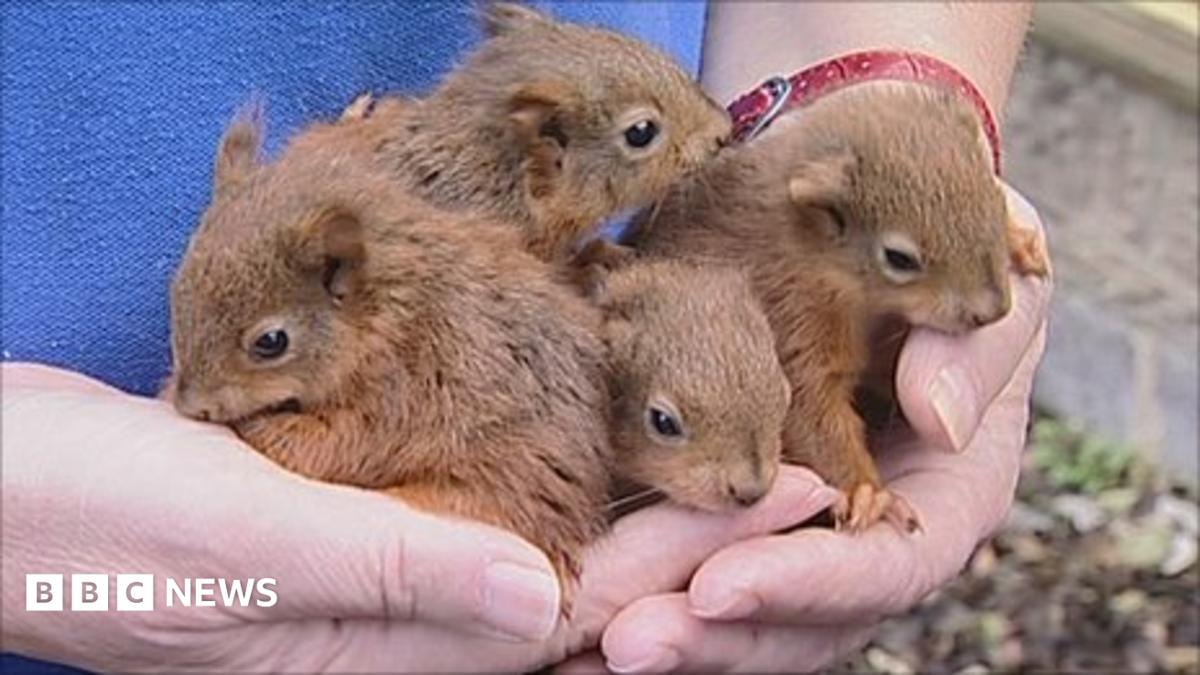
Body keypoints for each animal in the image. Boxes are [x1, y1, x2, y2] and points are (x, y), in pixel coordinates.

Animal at [164, 109, 614, 603]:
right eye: (178, 289)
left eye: (271, 342)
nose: (191, 405)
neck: (389, 313)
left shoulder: (399, 395)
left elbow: (334, 445)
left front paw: (261, 428)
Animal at [623, 83, 1050, 532]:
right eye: (899, 259)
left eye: (996, 198)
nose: (993, 310)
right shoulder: (789, 313)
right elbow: (813, 414)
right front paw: (867, 491)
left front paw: (1019, 242)